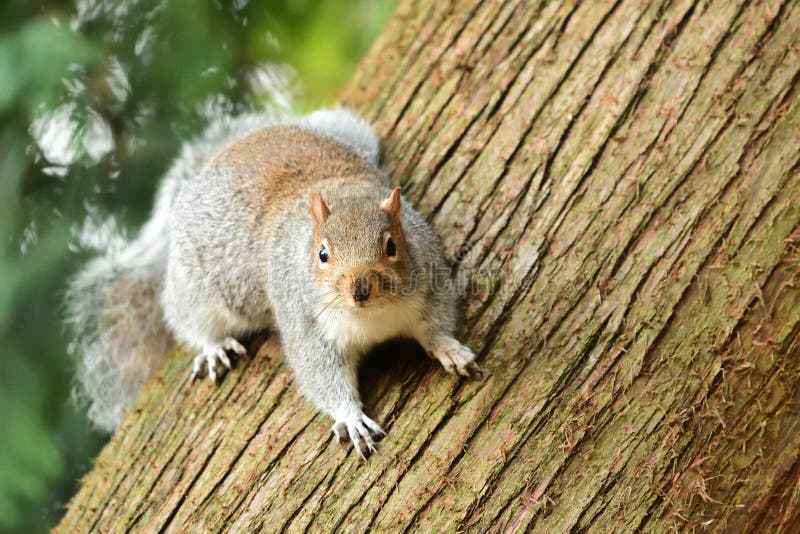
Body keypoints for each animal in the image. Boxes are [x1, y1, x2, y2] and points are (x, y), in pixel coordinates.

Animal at [66, 108, 484, 457]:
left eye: (392, 245)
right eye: (322, 254)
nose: (360, 289)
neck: (371, 318)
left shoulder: (430, 283)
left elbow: (436, 323)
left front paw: (448, 348)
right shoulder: (306, 325)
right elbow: (320, 372)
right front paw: (350, 417)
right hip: (194, 280)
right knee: (186, 316)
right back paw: (213, 345)